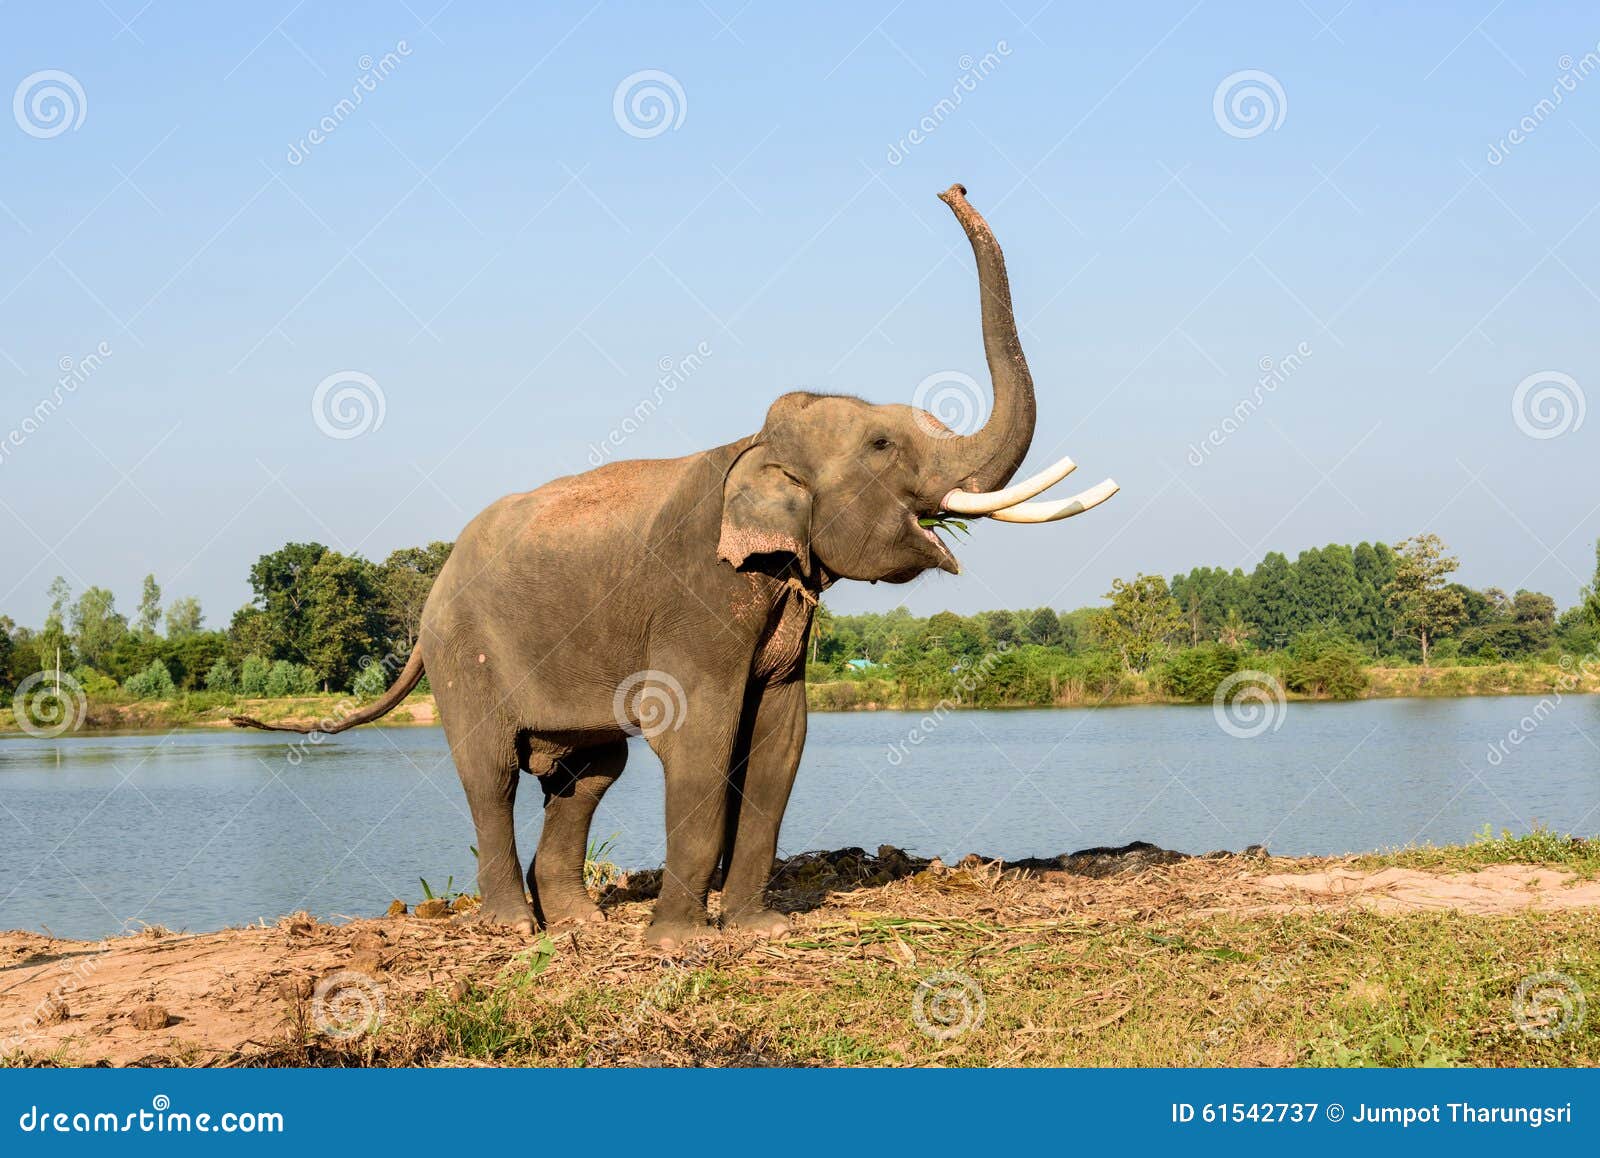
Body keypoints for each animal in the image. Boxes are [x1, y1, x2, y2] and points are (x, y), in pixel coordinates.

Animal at [234, 184, 1117, 949]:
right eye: (882, 445)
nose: (951, 187)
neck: (751, 447)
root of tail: (433, 591)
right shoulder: (698, 597)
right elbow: (700, 736)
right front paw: (679, 944)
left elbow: (779, 737)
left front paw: (758, 930)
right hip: (464, 652)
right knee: (492, 773)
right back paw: (515, 929)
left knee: (589, 772)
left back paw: (577, 924)